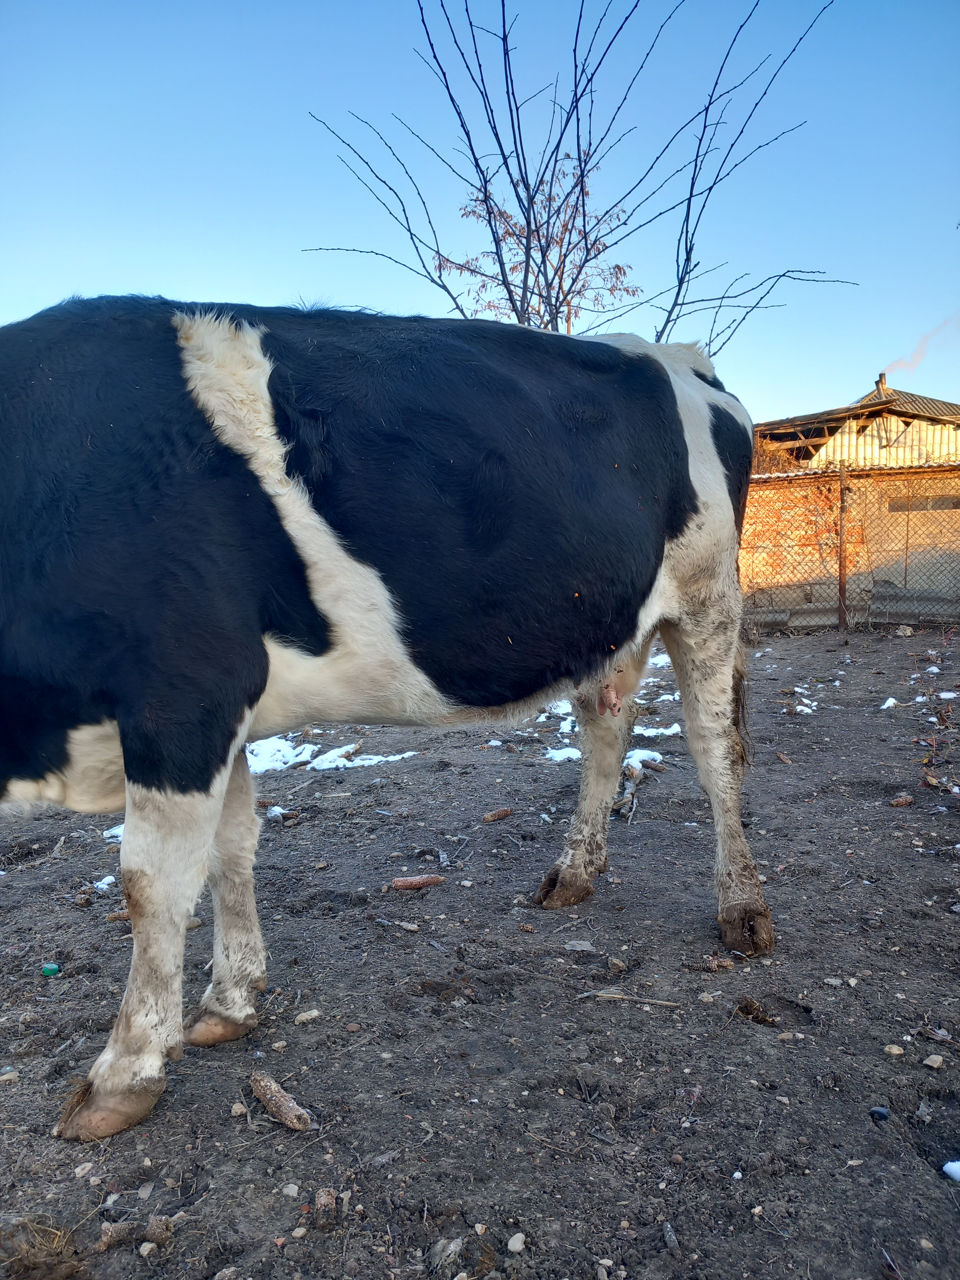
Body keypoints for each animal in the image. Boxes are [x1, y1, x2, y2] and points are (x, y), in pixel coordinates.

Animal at [0, 296, 774, 1140]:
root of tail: (673, 356)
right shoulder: (216, 714)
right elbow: (230, 851)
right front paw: (231, 1000)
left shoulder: (183, 691)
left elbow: (152, 884)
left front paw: (124, 1070)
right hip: (605, 625)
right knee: (607, 730)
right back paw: (574, 872)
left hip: (707, 596)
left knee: (716, 747)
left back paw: (742, 907)